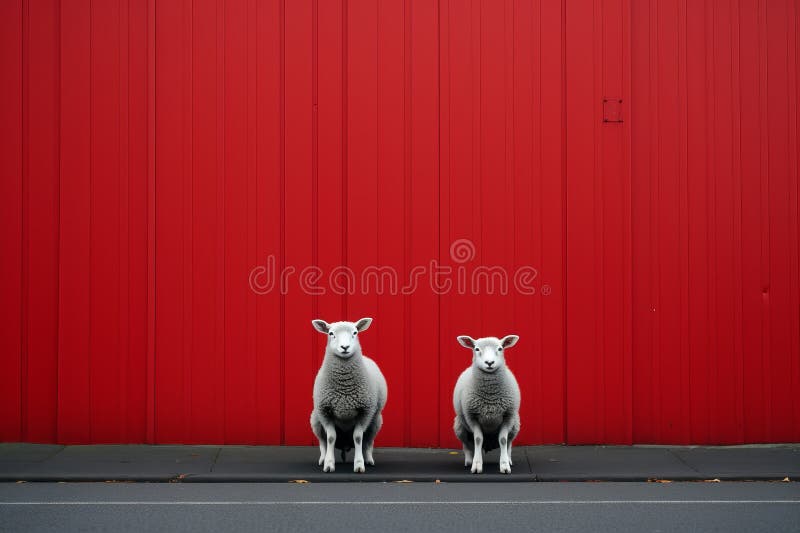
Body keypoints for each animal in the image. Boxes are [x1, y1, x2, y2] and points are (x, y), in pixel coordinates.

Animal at [309, 317, 388, 473]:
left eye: (355, 332)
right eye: (331, 333)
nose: (345, 347)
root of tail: (345, 446)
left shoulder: (365, 412)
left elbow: (358, 437)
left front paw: (359, 464)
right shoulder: (325, 411)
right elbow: (330, 438)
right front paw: (329, 464)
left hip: (375, 421)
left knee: (367, 442)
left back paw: (368, 459)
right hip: (316, 419)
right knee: (322, 442)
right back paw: (322, 459)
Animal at [452, 334, 521, 474]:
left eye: (500, 348)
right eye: (476, 349)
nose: (489, 363)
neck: (490, 397)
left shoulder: (508, 416)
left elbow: (503, 440)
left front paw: (504, 465)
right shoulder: (472, 417)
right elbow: (478, 439)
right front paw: (477, 465)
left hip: (515, 425)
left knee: (509, 443)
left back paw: (509, 459)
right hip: (460, 427)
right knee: (467, 445)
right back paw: (469, 460)